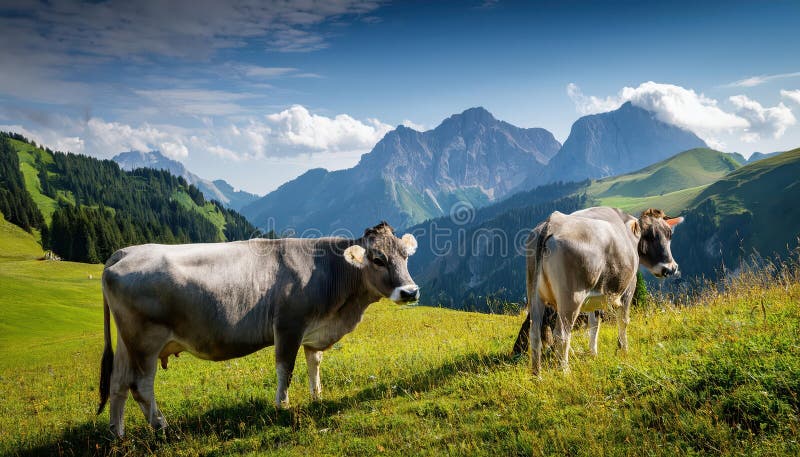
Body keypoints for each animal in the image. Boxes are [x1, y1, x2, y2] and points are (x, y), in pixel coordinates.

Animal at [96, 221, 419, 437]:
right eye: (378, 259)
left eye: (405, 256)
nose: (410, 291)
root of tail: (124, 252)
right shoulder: (288, 324)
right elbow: (285, 367)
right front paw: (282, 406)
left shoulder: (315, 332)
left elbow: (314, 363)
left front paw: (317, 397)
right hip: (145, 341)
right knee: (140, 386)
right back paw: (162, 426)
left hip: (127, 343)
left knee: (117, 384)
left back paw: (117, 434)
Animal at [511, 207, 683, 375]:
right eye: (650, 236)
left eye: (669, 235)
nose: (671, 268)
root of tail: (551, 223)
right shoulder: (629, 287)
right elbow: (624, 321)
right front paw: (623, 350)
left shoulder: (597, 295)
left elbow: (594, 324)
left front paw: (593, 354)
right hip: (571, 298)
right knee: (561, 333)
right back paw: (564, 371)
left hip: (534, 294)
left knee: (535, 332)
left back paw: (537, 375)